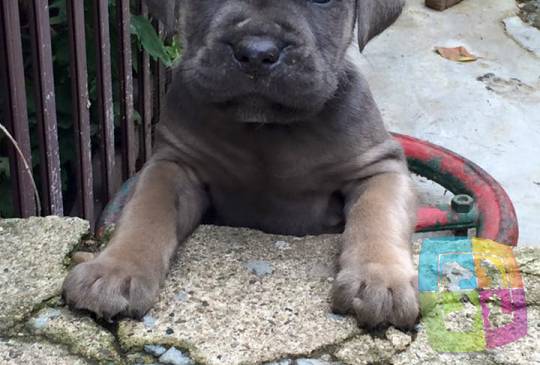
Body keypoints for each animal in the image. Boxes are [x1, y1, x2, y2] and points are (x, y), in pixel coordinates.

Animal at [64, 0, 418, 330]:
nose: (257, 52)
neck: (265, 130)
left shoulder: (379, 168)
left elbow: (377, 214)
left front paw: (379, 279)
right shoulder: (173, 164)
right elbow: (146, 211)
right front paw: (114, 269)